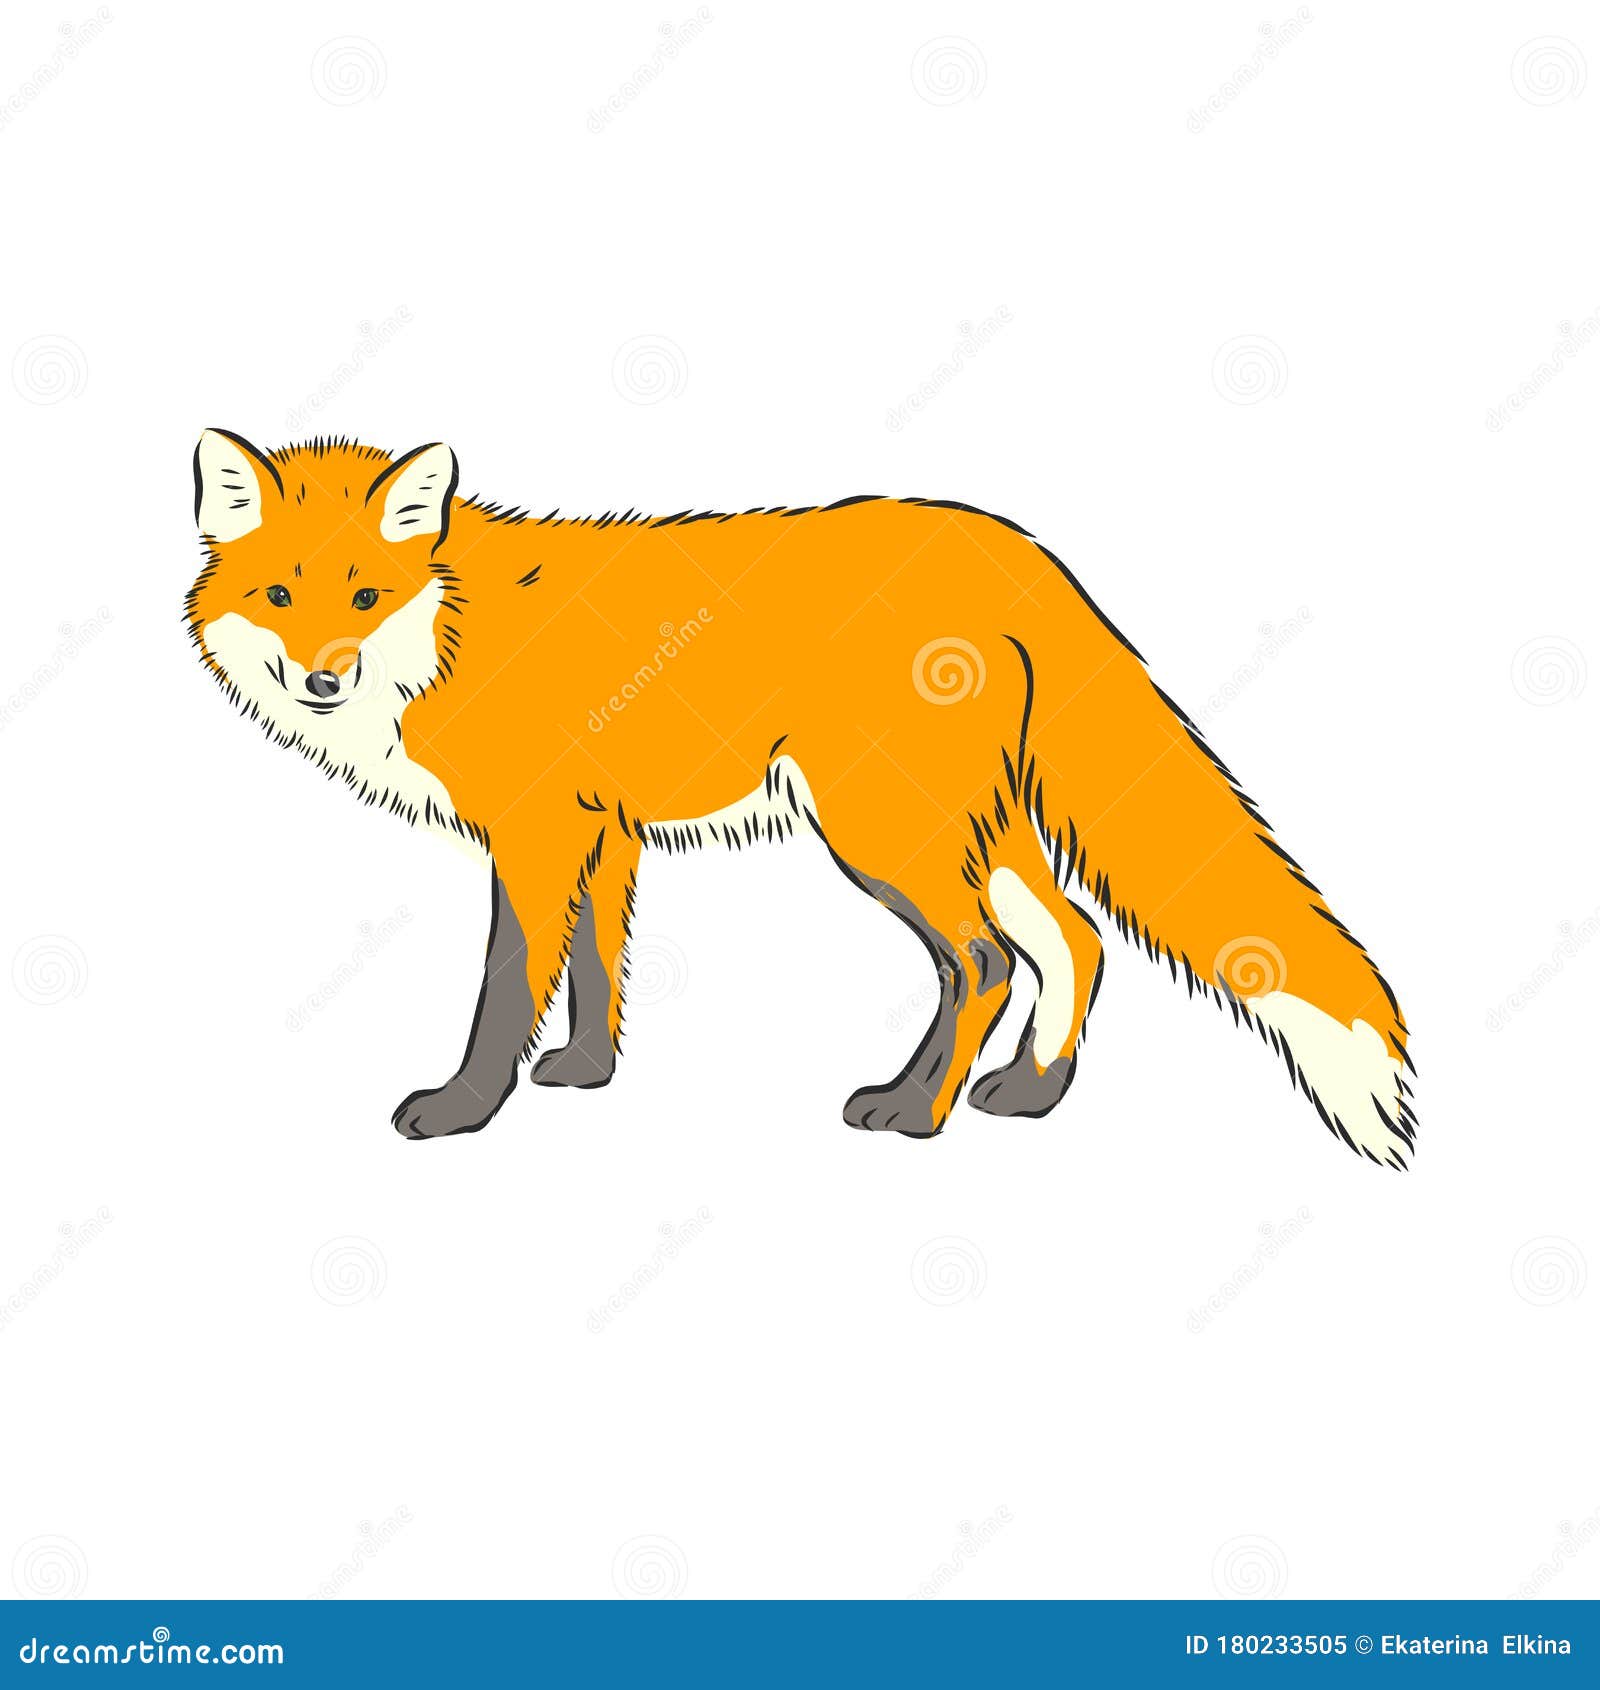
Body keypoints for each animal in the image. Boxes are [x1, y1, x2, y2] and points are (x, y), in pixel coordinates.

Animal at [184, 429, 1415, 1164]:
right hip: (965, 828)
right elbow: (593, 967)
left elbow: (504, 988)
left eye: (364, 595)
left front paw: (464, 1109)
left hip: (886, 830)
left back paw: (913, 1114)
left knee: (985, 961)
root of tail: (1011, 543)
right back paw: (1028, 1094)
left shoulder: (535, 831)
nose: (323, 678)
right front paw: (584, 1073)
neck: (453, 634)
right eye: (280, 595)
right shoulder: (604, 833)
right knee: (1073, 940)